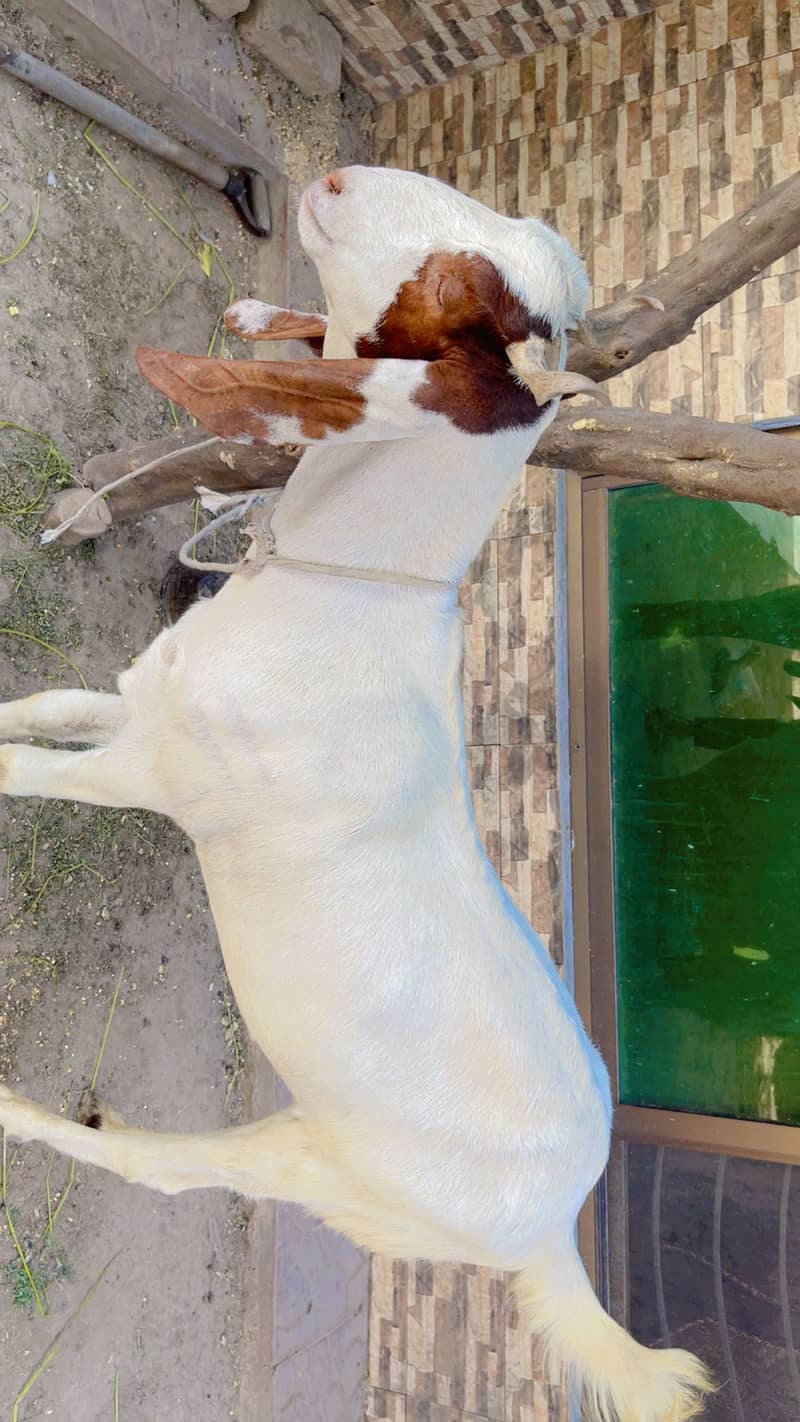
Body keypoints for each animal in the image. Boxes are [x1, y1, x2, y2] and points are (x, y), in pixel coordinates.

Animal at [0, 166, 710, 1422]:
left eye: (462, 288)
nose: (330, 178)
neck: (341, 593)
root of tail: (549, 1235)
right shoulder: (140, 705)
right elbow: (34, 711)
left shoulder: (152, 773)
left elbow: (22, 769)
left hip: (326, 1165)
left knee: (165, 1168)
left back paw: (22, 1116)